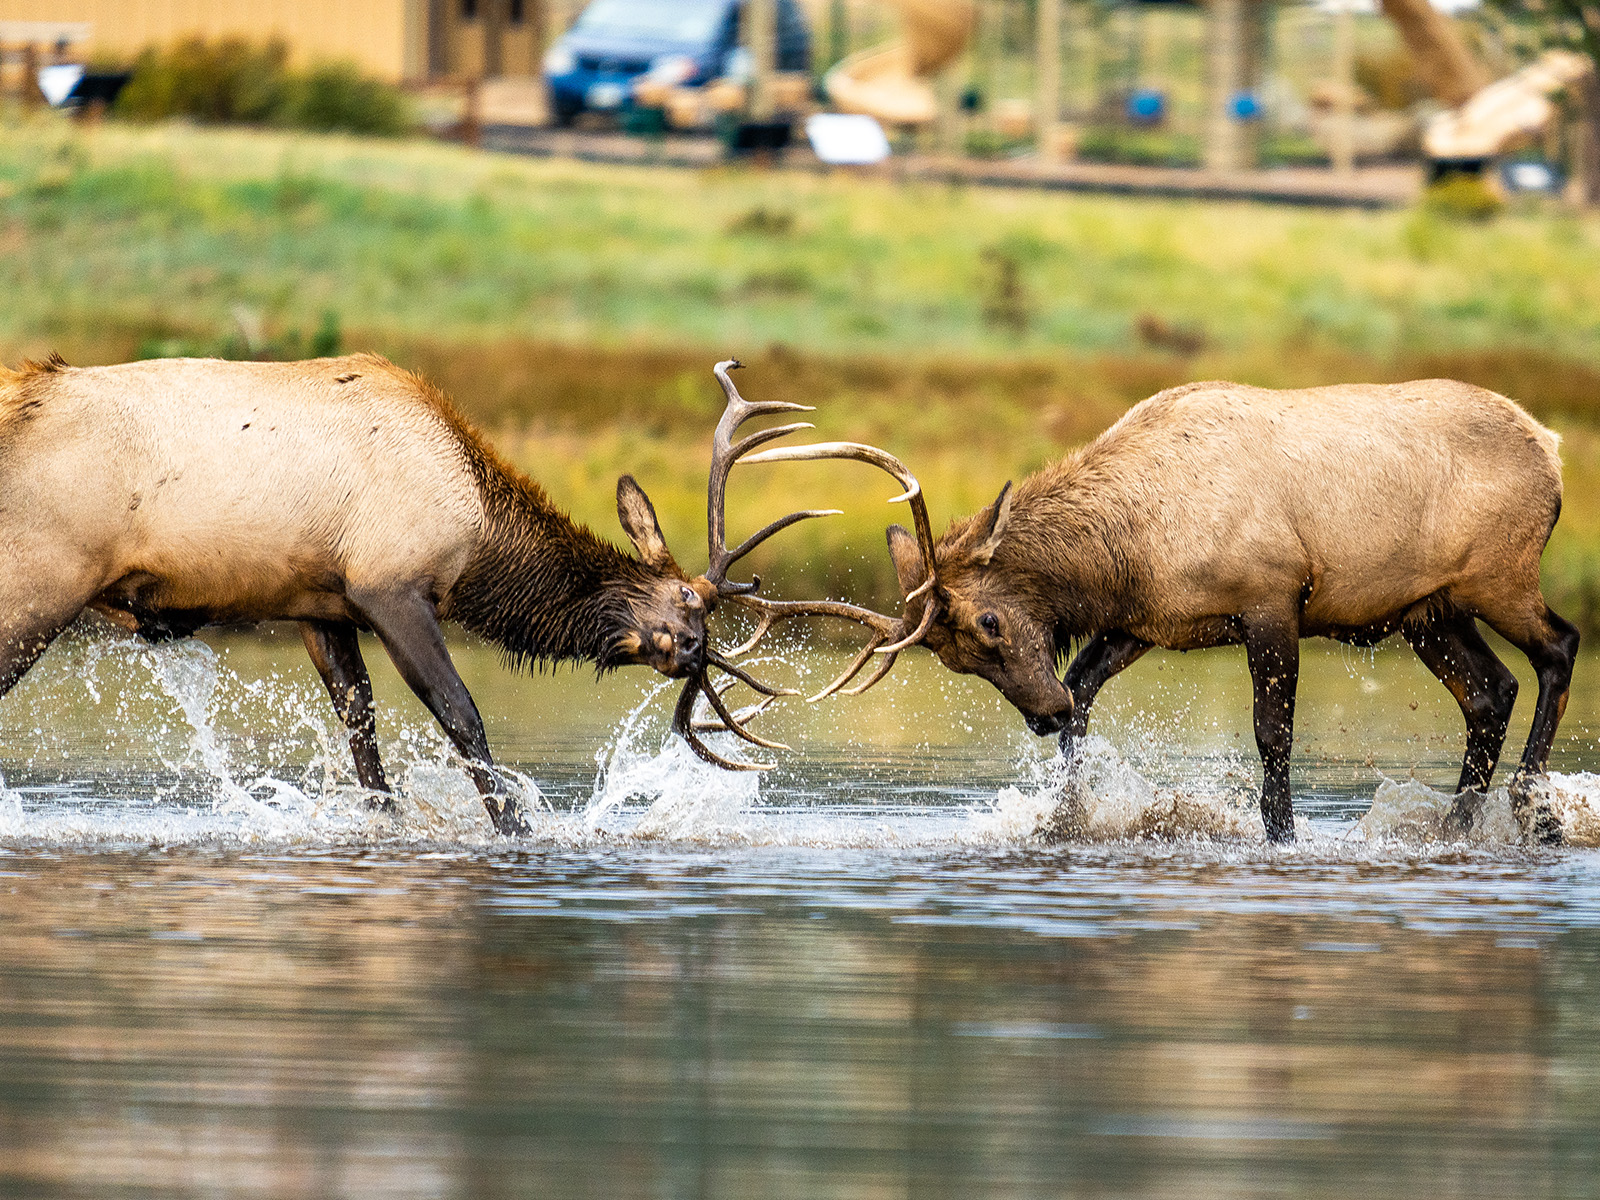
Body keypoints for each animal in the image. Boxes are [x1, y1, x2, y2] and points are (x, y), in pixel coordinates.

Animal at [0, 352, 870, 835]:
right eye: (690, 603)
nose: (694, 654)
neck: (477, 529)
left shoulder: (318, 605)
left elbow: (363, 738)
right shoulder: (391, 586)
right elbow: (463, 718)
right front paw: (519, 828)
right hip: (41, 582)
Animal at [734, 377, 1581, 846]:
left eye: (989, 622)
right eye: (956, 659)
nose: (1036, 713)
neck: (1129, 551)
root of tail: (1553, 446)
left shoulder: (1273, 598)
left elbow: (1273, 734)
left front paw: (1282, 835)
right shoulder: (1148, 625)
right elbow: (1085, 695)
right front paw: (1066, 817)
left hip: (1500, 576)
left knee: (1558, 647)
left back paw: (1535, 809)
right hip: (1427, 610)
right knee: (1490, 690)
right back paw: (1458, 823)